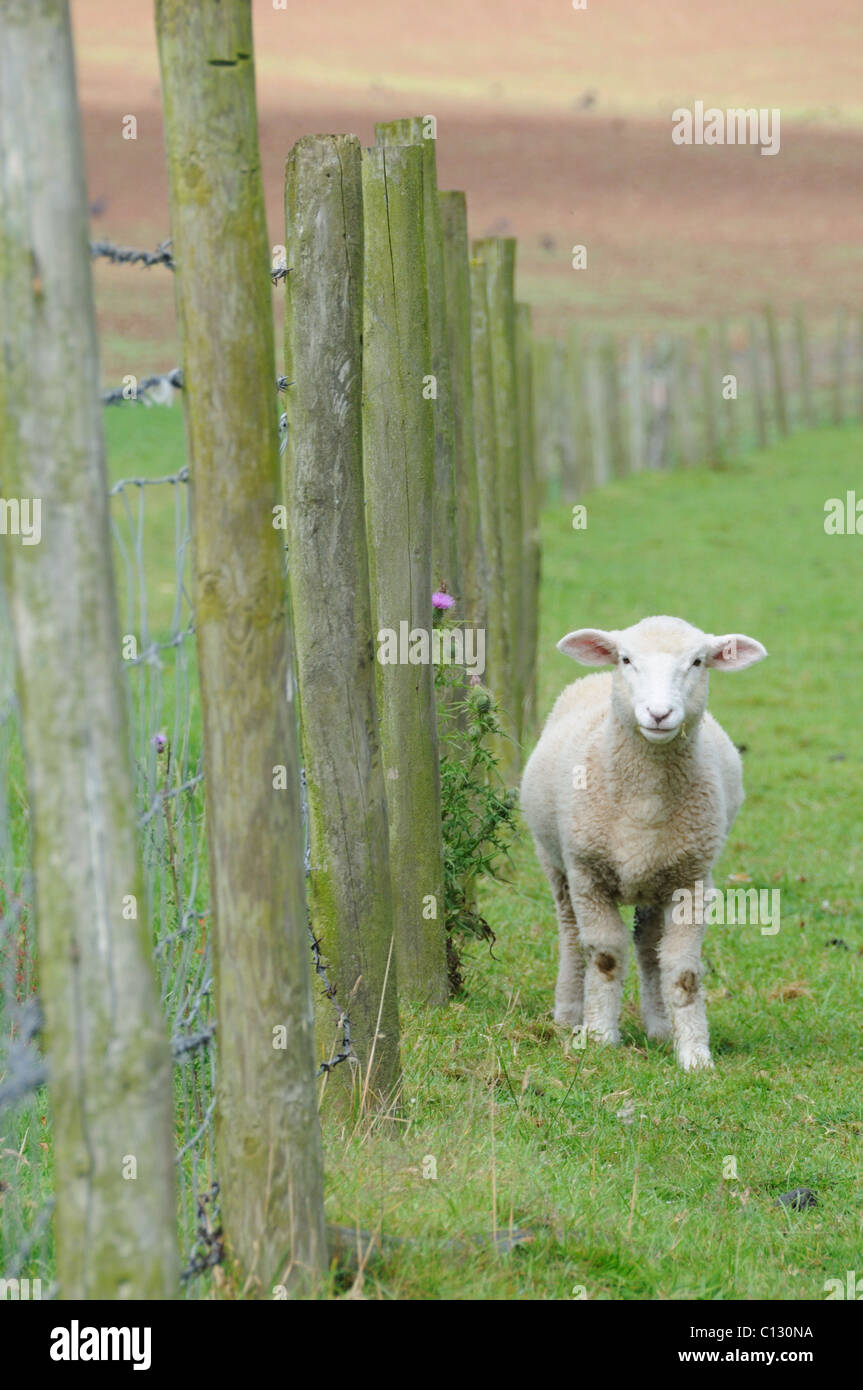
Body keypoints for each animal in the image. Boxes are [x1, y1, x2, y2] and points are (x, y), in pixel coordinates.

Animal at [519, 616, 767, 1071]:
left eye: (698, 661)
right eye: (627, 659)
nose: (659, 714)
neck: (644, 803)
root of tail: (595, 677)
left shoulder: (692, 880)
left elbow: (682, 969)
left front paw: (694, 1053)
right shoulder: (588, 876)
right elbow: (605, 956)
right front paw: (600, 1035)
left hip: (658, 877)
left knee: (650, 947)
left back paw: (659, 1024)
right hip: (556, 864)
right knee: (571, 936)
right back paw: (568, 1013)